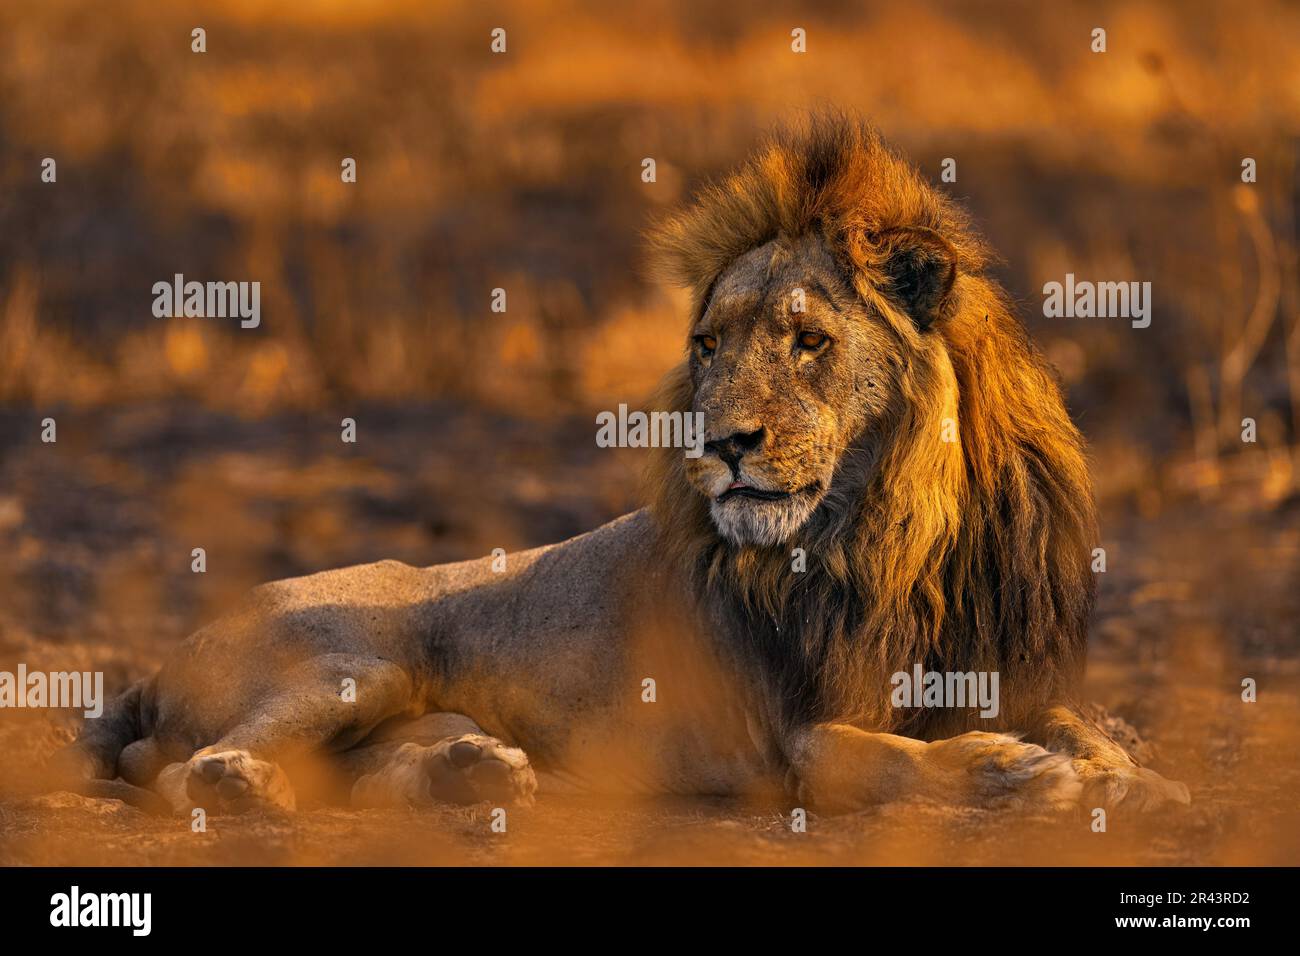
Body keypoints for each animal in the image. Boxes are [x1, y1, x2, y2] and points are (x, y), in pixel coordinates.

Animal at [51, 114, 1189, 818]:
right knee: (182, 768)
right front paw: (1012, 774)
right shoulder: (787, 734)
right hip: (357, 659)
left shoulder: (1004, 665)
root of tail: (155, 664)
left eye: (807, 341)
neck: (898, 532)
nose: (719, 446)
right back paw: (251, 789)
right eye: (709, 346)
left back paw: (474, 775)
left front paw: (1131, 778)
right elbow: (861, 756)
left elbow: (1093, 729)